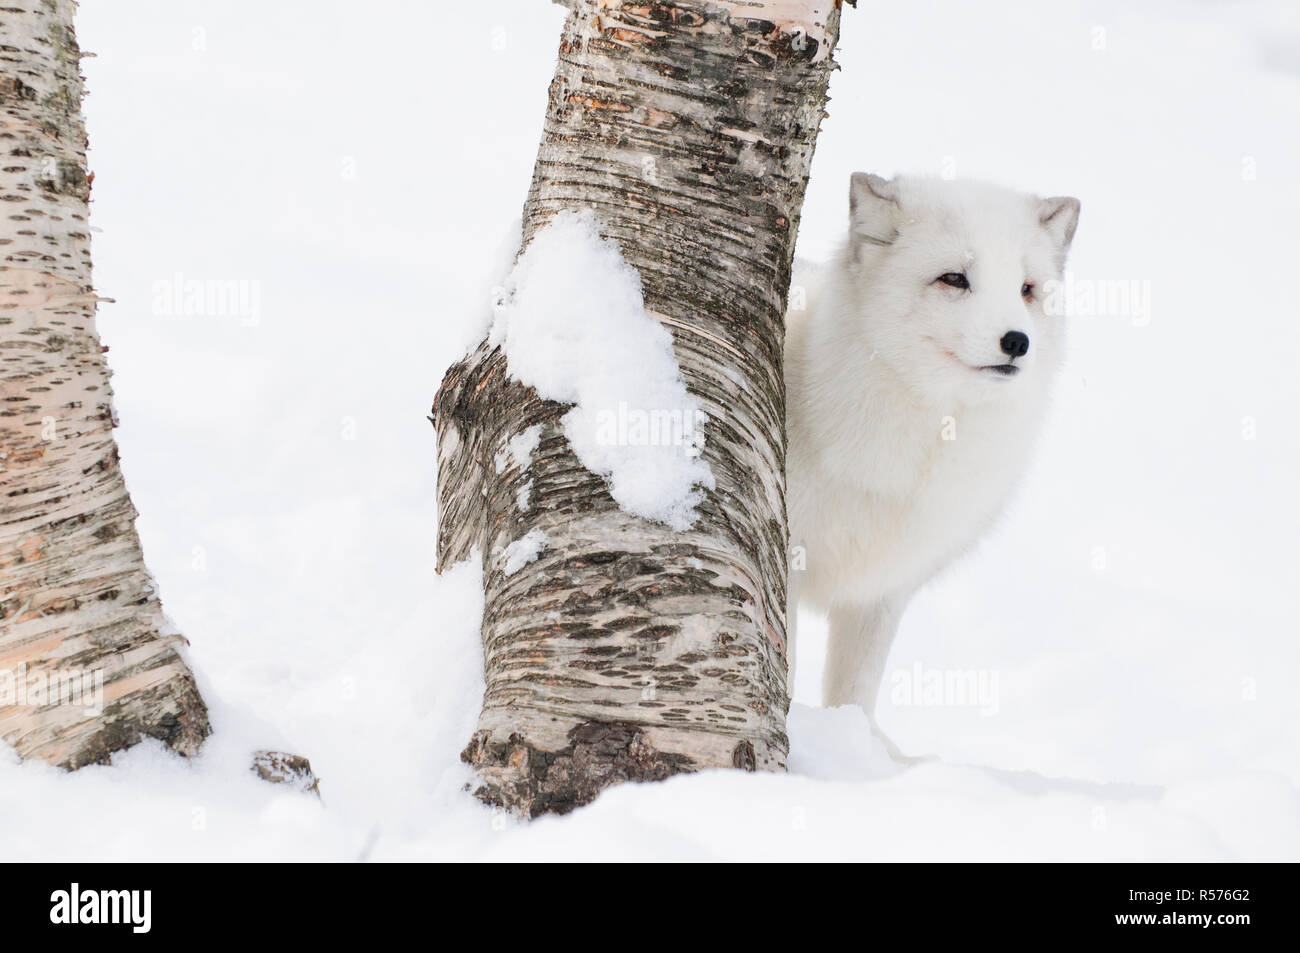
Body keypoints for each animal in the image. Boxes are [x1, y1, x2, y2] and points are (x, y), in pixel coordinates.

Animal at [784, 172, 1080, 760]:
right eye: (954, 279)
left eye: (1027, 289)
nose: (1017, 341)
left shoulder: (883, 589)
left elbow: (855, 691)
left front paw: (860, 752)